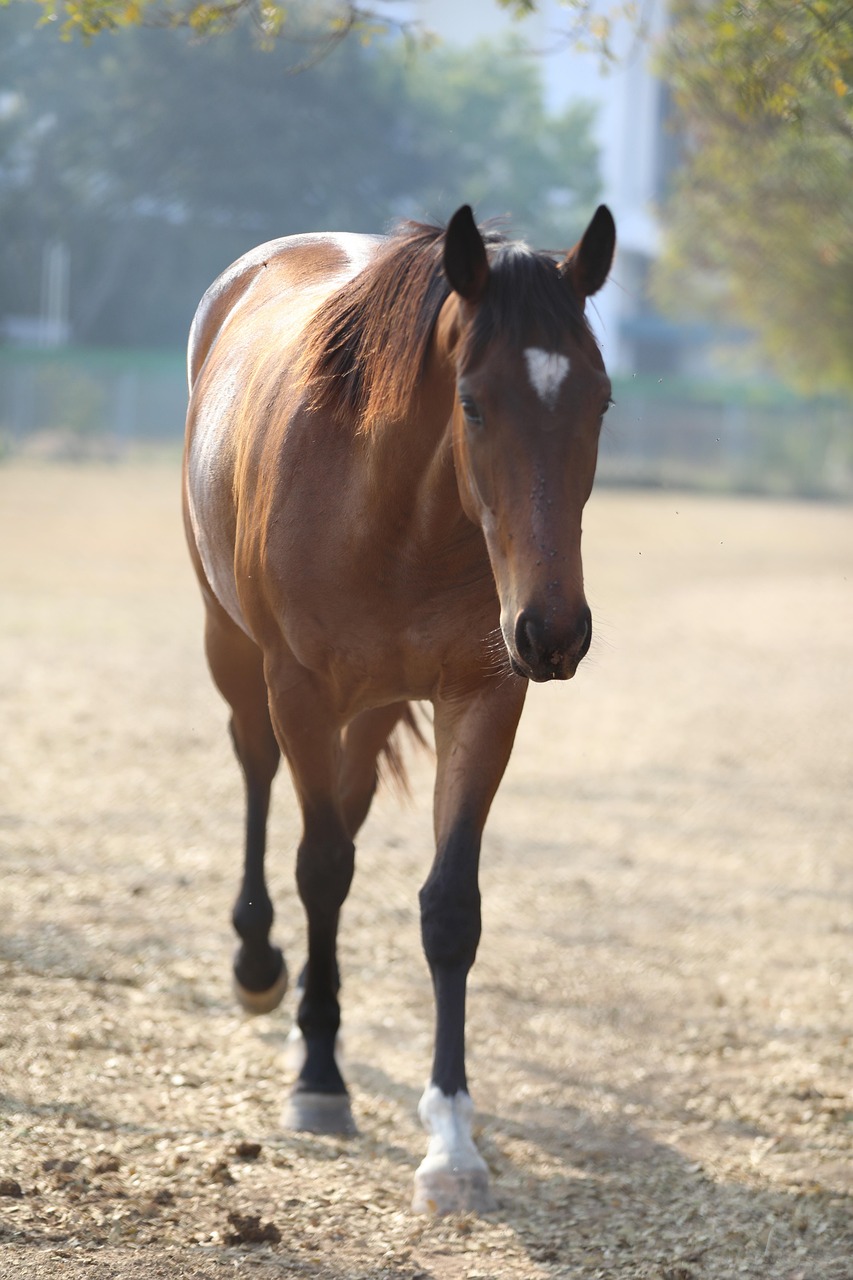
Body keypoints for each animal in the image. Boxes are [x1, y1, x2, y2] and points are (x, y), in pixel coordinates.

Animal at [182, 202, 616, 1214]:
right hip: (236, 650)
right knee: (260, 775)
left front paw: (451, 1142)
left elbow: (449, 908)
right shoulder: (299, 689)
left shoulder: (484, 697)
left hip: (376, 703)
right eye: (472, 402)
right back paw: (264, 972)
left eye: (602, 401)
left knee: (342, 805)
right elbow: (320, 869)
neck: (393, 512)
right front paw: (319, 1084)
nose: (554, 628)